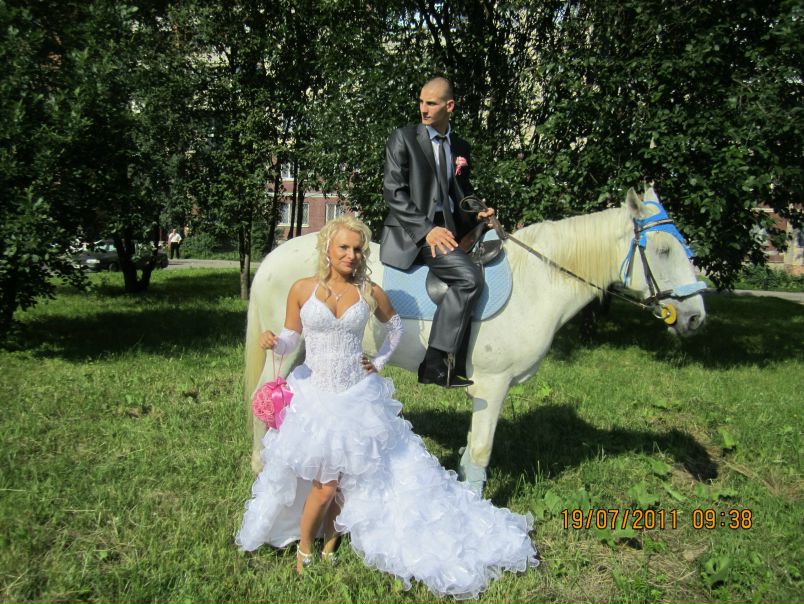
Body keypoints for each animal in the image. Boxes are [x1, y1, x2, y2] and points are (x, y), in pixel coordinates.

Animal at [244, 187, 707, 494]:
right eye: (663, 250)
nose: (695, 317)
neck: (536, 283)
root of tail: (273, 257)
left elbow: (470, 455)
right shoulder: (493, 386)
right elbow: (482, 451)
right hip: (287, 347)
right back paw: (262, 466)